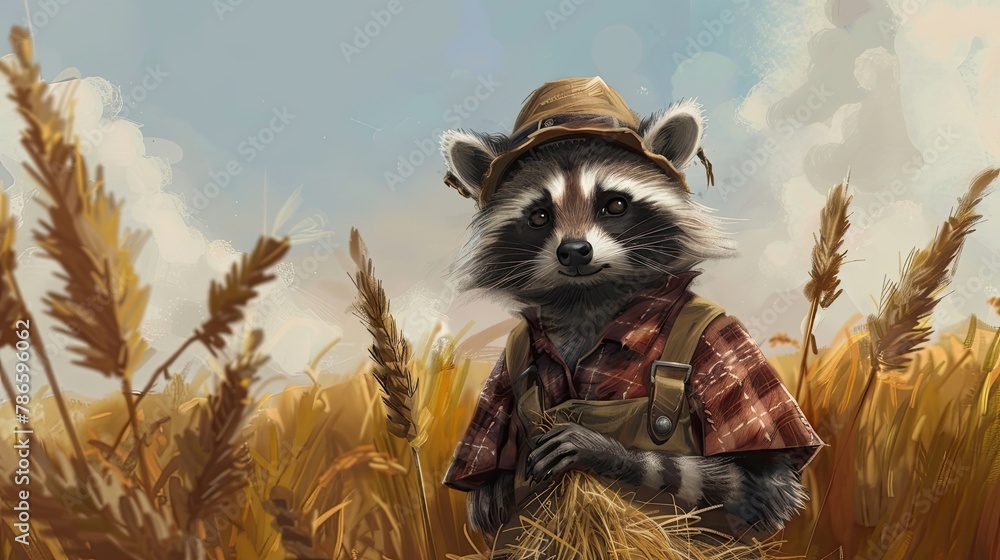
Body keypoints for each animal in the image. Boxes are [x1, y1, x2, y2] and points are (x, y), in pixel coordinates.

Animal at [441, 83, 817, 541]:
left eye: (615, 205)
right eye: (539, 215)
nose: (574, 251)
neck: (588, 298)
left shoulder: (725, 342)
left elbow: (764, 487)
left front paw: (607, 452)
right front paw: (492, 486)